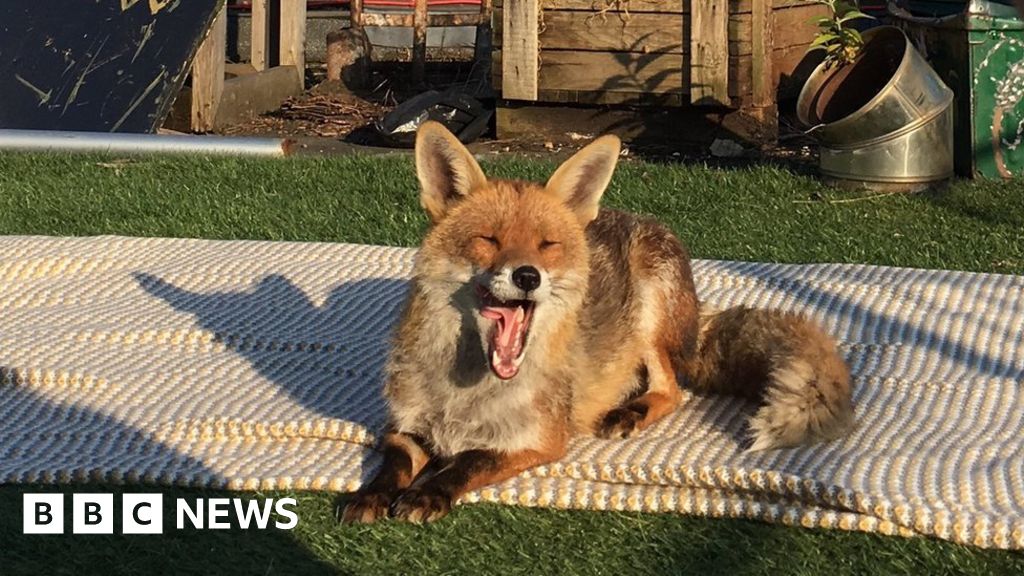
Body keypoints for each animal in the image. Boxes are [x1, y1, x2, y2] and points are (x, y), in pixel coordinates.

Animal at [340, 121, 854, 524]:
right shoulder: (403, 426)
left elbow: (468, 461)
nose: (527, 276)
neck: (467, 392)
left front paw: (429, 492)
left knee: (672, 389)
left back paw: (630, 411)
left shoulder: (541, 440)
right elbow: (392, 464)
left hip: (649, 311)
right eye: (489, 239)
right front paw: (372, 495)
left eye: (547, 245)